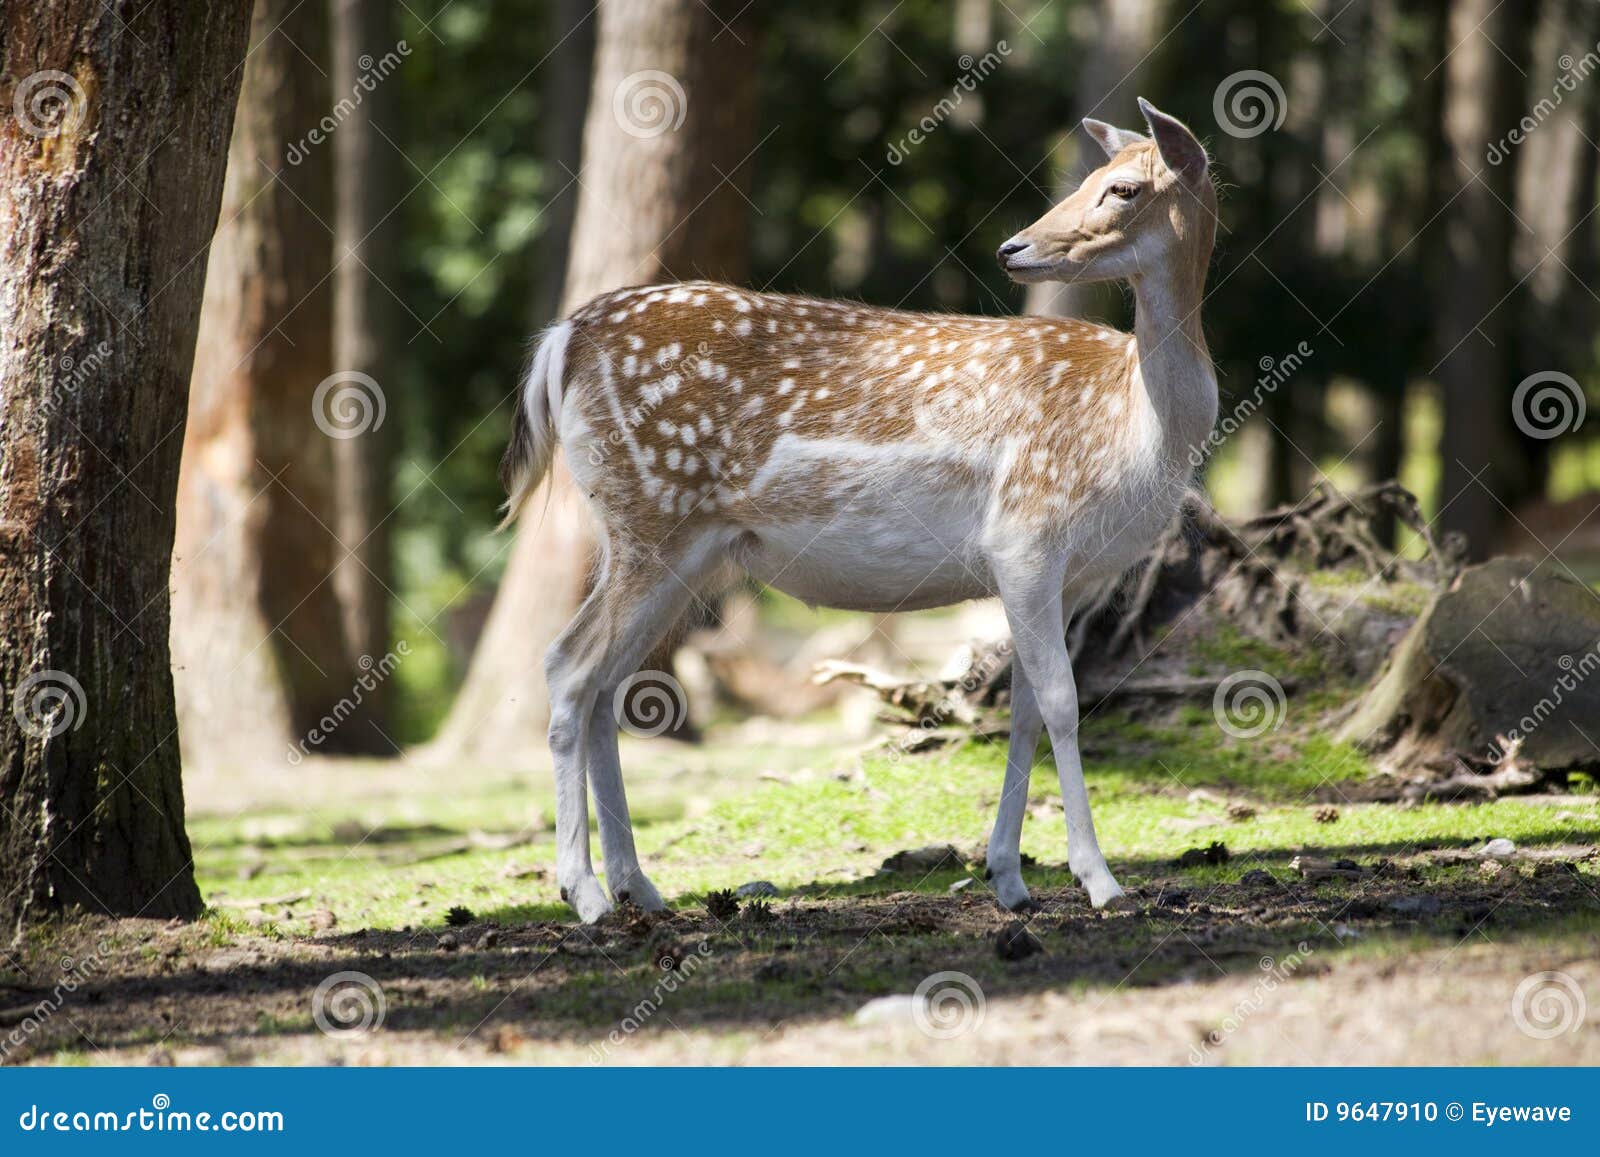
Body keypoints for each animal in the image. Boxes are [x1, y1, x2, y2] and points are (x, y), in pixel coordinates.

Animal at [500, 99, 1218, 922]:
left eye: (1123, 188)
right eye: (1090, 181)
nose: (1014, 247)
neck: (1137, 430)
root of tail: (561, 340)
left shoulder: (1077, 577)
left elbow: (1026, 706)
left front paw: (1009, 877)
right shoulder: (1024, 535)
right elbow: (1064, 703)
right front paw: (1098, 878)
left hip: (681, 547)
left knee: (607, 684)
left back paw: (638, 887)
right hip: (649, 513)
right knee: (568, 665)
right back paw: (583, 891)